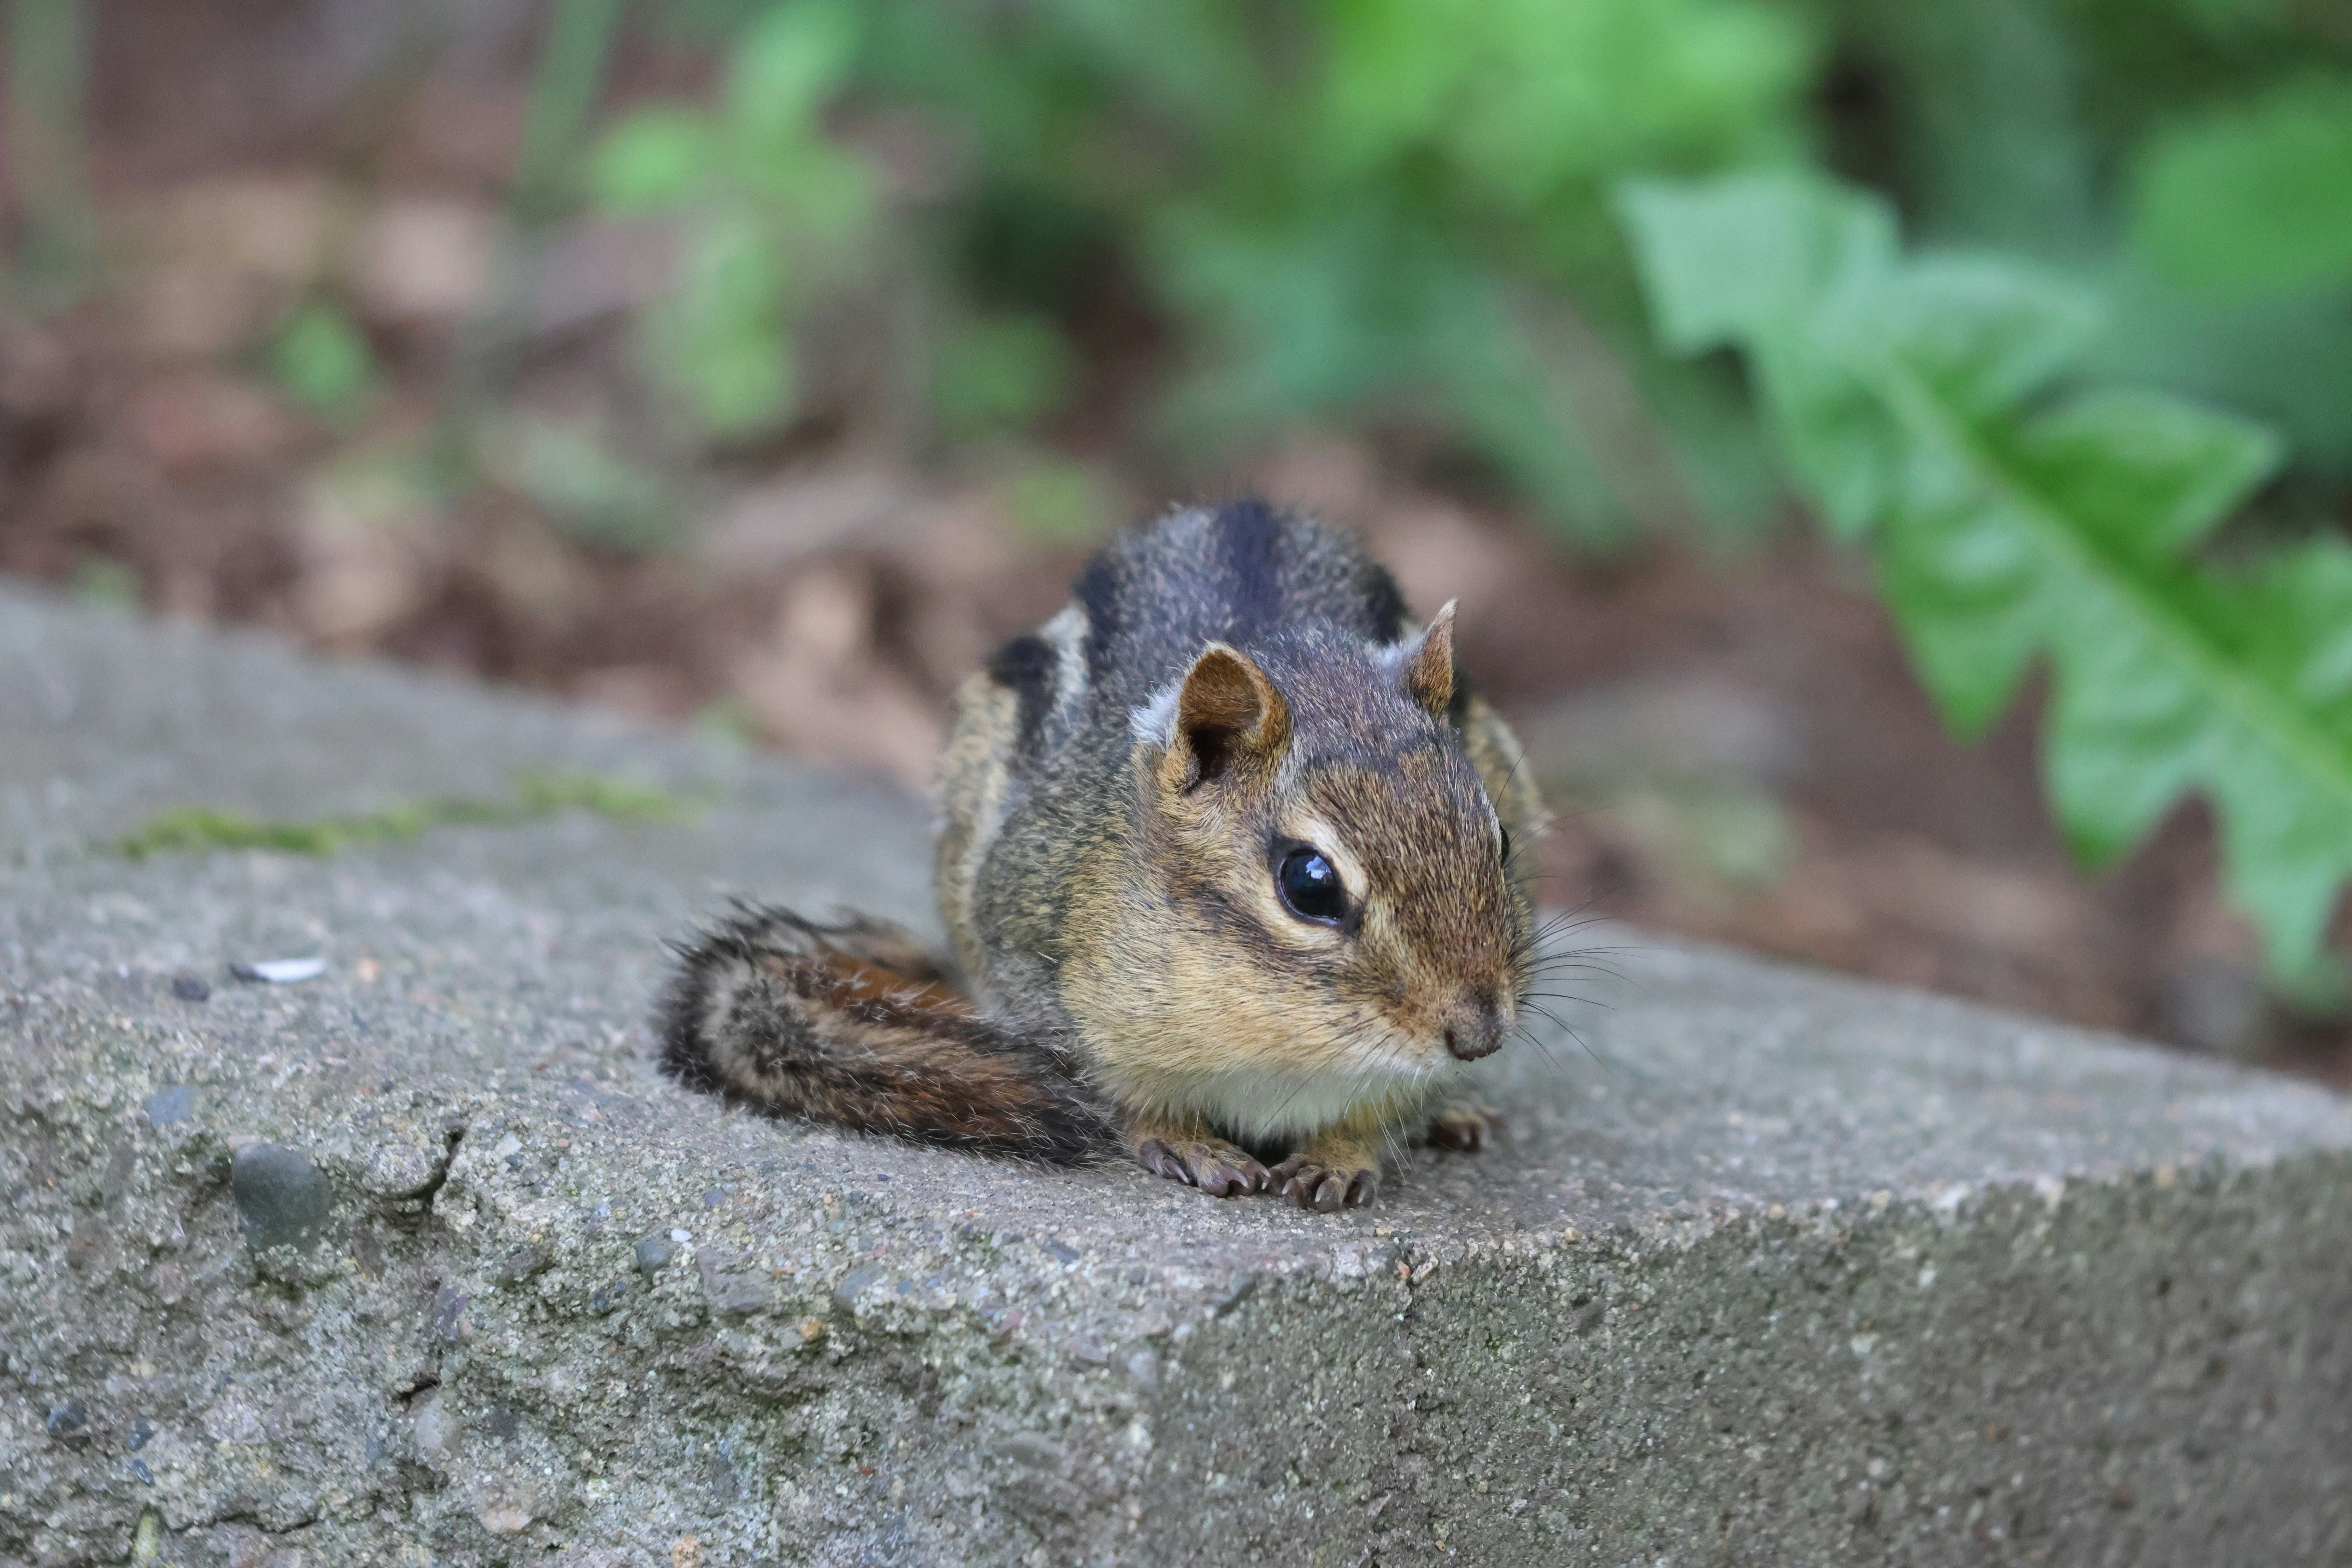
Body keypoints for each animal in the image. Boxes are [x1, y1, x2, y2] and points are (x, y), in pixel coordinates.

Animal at [660, 500, 1549, 1210]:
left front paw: (1344, 1151)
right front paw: (1178, 1136)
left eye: (1500, 840)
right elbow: (1106, 1083)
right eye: (1309, 883)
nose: (1479, 1035)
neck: (1271, 1020)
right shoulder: (1030, 959)